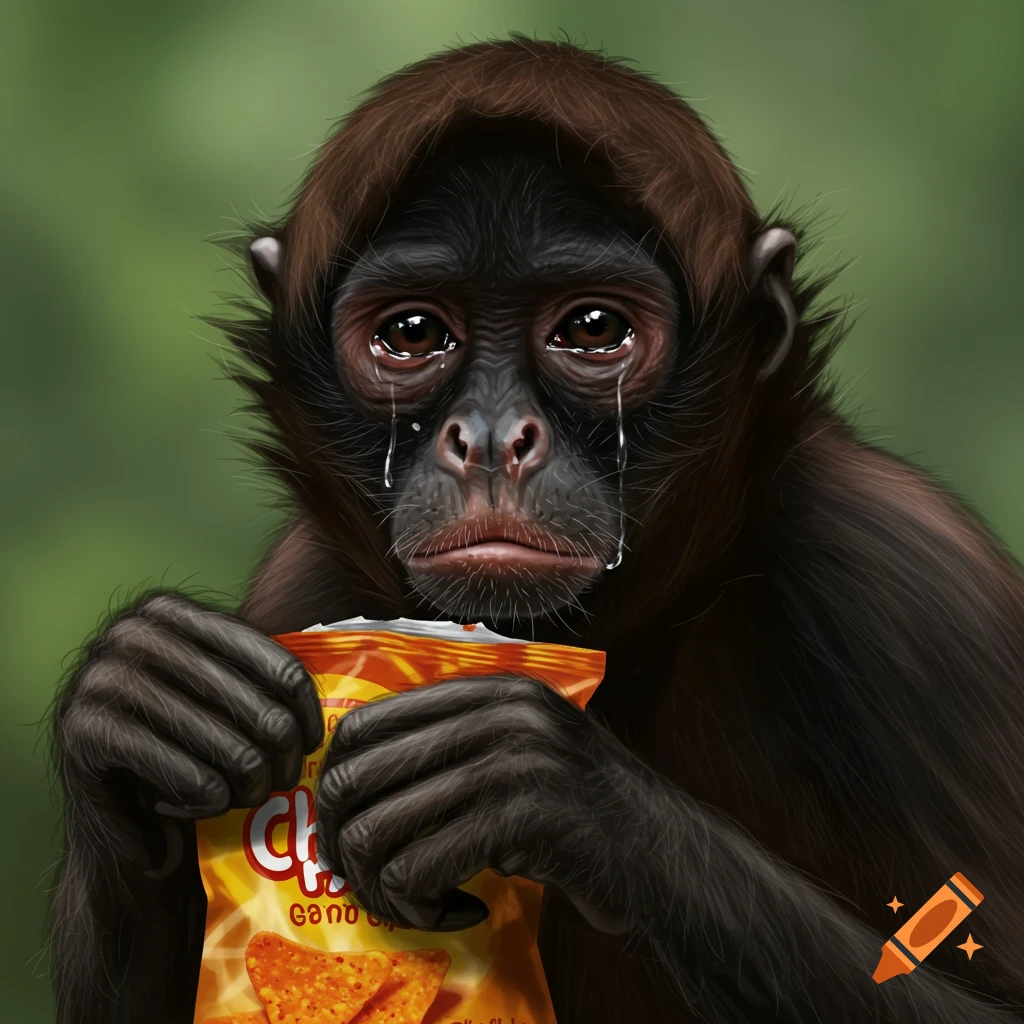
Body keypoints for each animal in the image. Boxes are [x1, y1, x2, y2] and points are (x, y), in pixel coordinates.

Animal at [50, 38, 1024, 1024]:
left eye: (593, 327)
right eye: (412, 333)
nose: (491, 439)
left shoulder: (902, 588)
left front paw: (560, 794)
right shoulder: (305, 584)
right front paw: (144, 700)